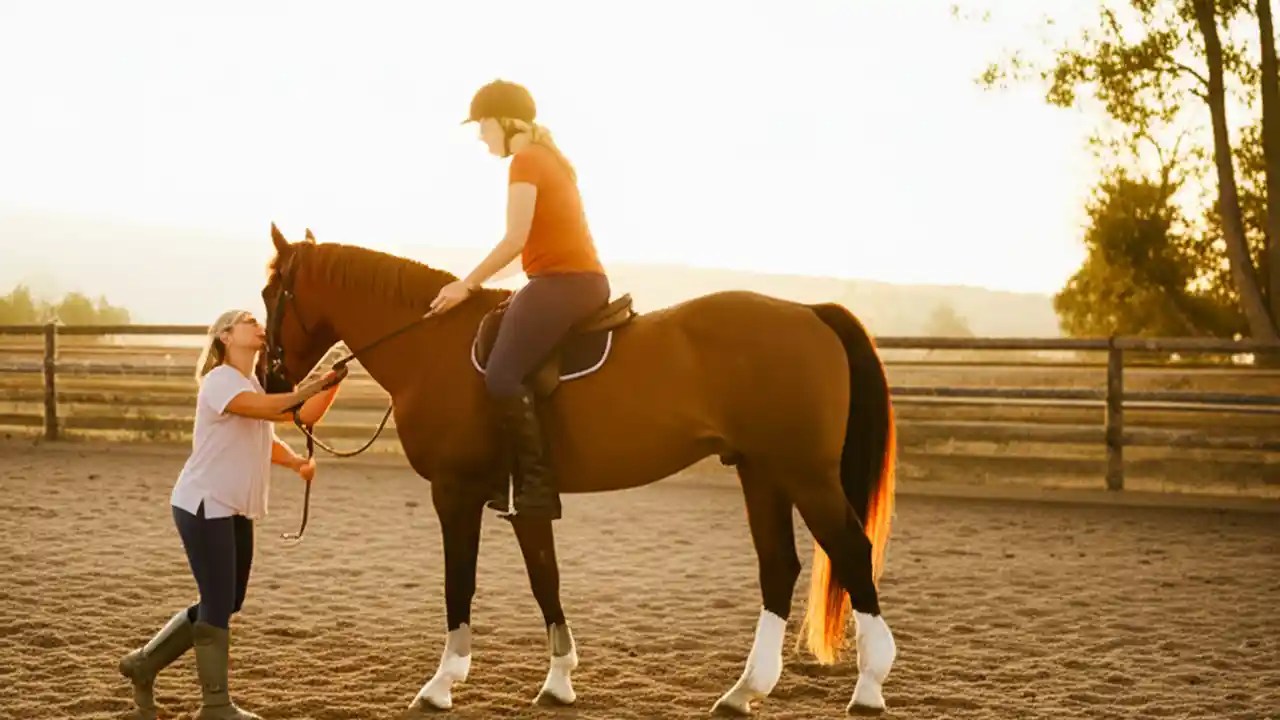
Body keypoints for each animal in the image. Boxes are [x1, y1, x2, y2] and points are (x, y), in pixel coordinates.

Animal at [260, 225, 899, 716]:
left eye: (272, 293)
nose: (269, 379)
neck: (434, 346)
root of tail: (810, 314)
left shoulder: (454, 492)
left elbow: (458, 583)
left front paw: (441, 684)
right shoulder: (523, 500)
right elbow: (546, 578)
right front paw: (560, 680)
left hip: (805, 475)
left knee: (851, 551)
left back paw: (868, 687)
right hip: (762, 472)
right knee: (778, 566)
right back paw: (744, 691)